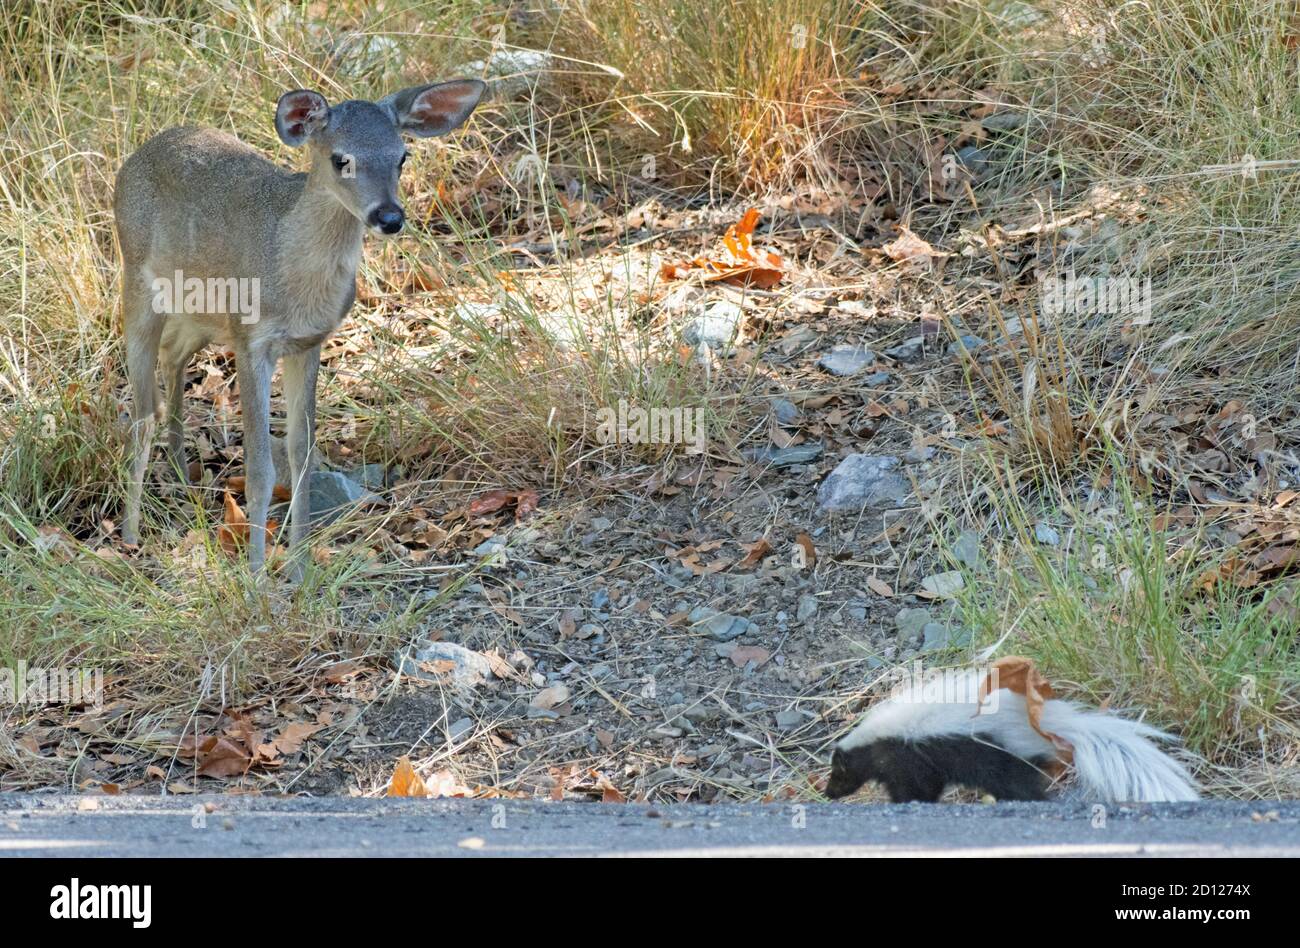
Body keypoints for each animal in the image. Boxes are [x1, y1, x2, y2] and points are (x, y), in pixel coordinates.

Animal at [114, 79, 487, 579]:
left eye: (403, 156)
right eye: (340, 158)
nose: (390, 217)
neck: (295, 281)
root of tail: (141, 151)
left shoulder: (308, 343)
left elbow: (301, 455)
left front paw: (299, 567)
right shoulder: (252, 340)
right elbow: (260, 468)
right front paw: (255, 574)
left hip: (201, 315)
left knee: (173, 358)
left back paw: (177, 478)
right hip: (137, 282)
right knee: (141, 412)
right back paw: (131, 535)